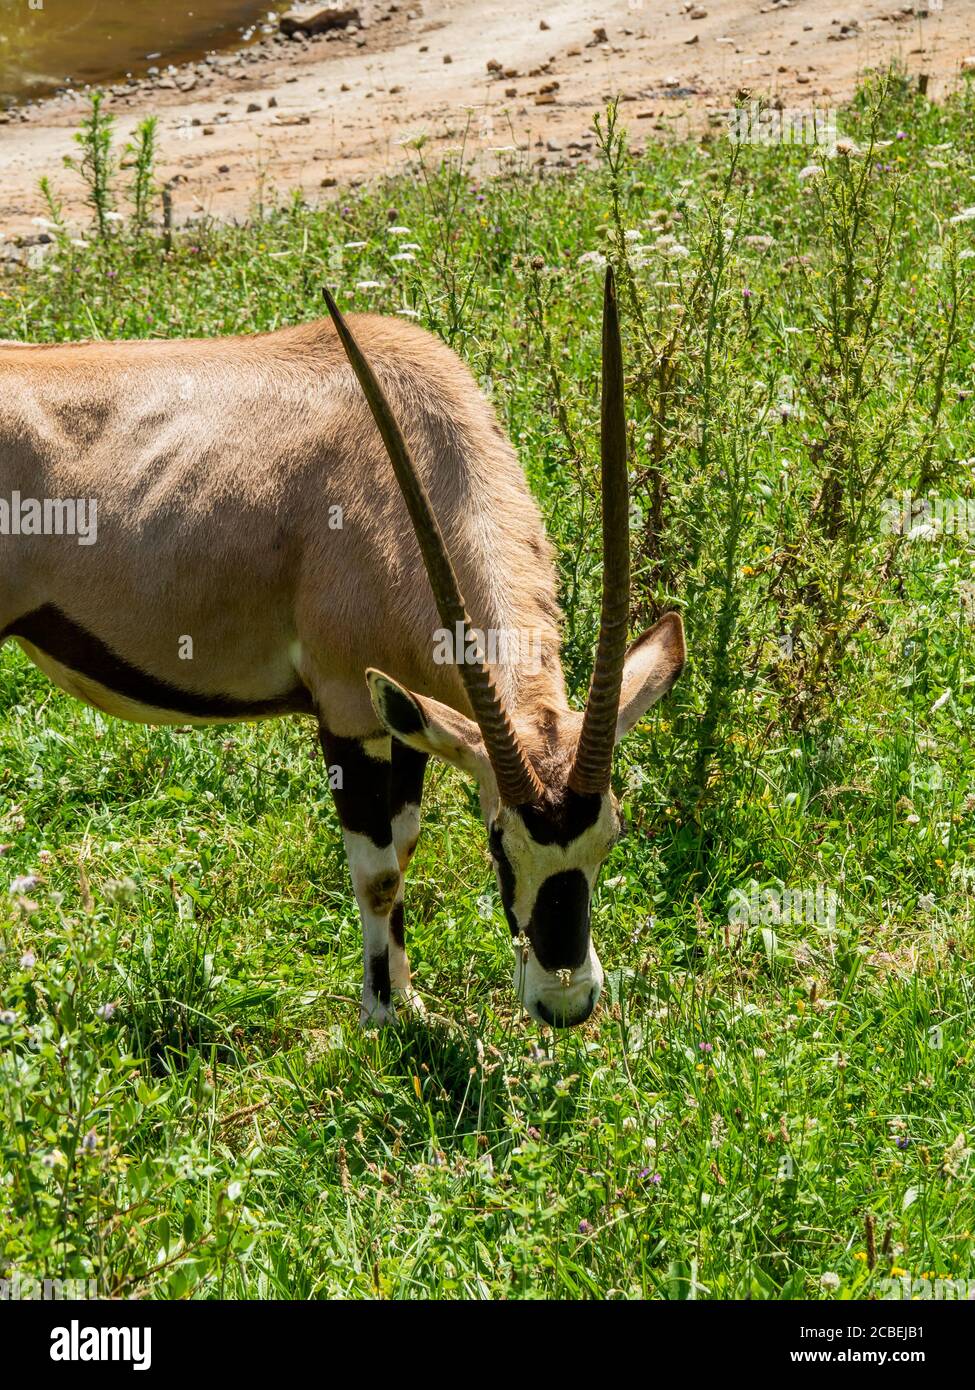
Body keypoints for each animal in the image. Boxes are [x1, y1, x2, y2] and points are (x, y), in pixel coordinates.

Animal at [0, 268, 685, 1028]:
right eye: (497, 841)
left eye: (612, 836)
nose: (565, 1002)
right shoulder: (348, 712)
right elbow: (379, 873)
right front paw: (381, 1015)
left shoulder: (411, 718)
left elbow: (405, 843)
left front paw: (409, 999)